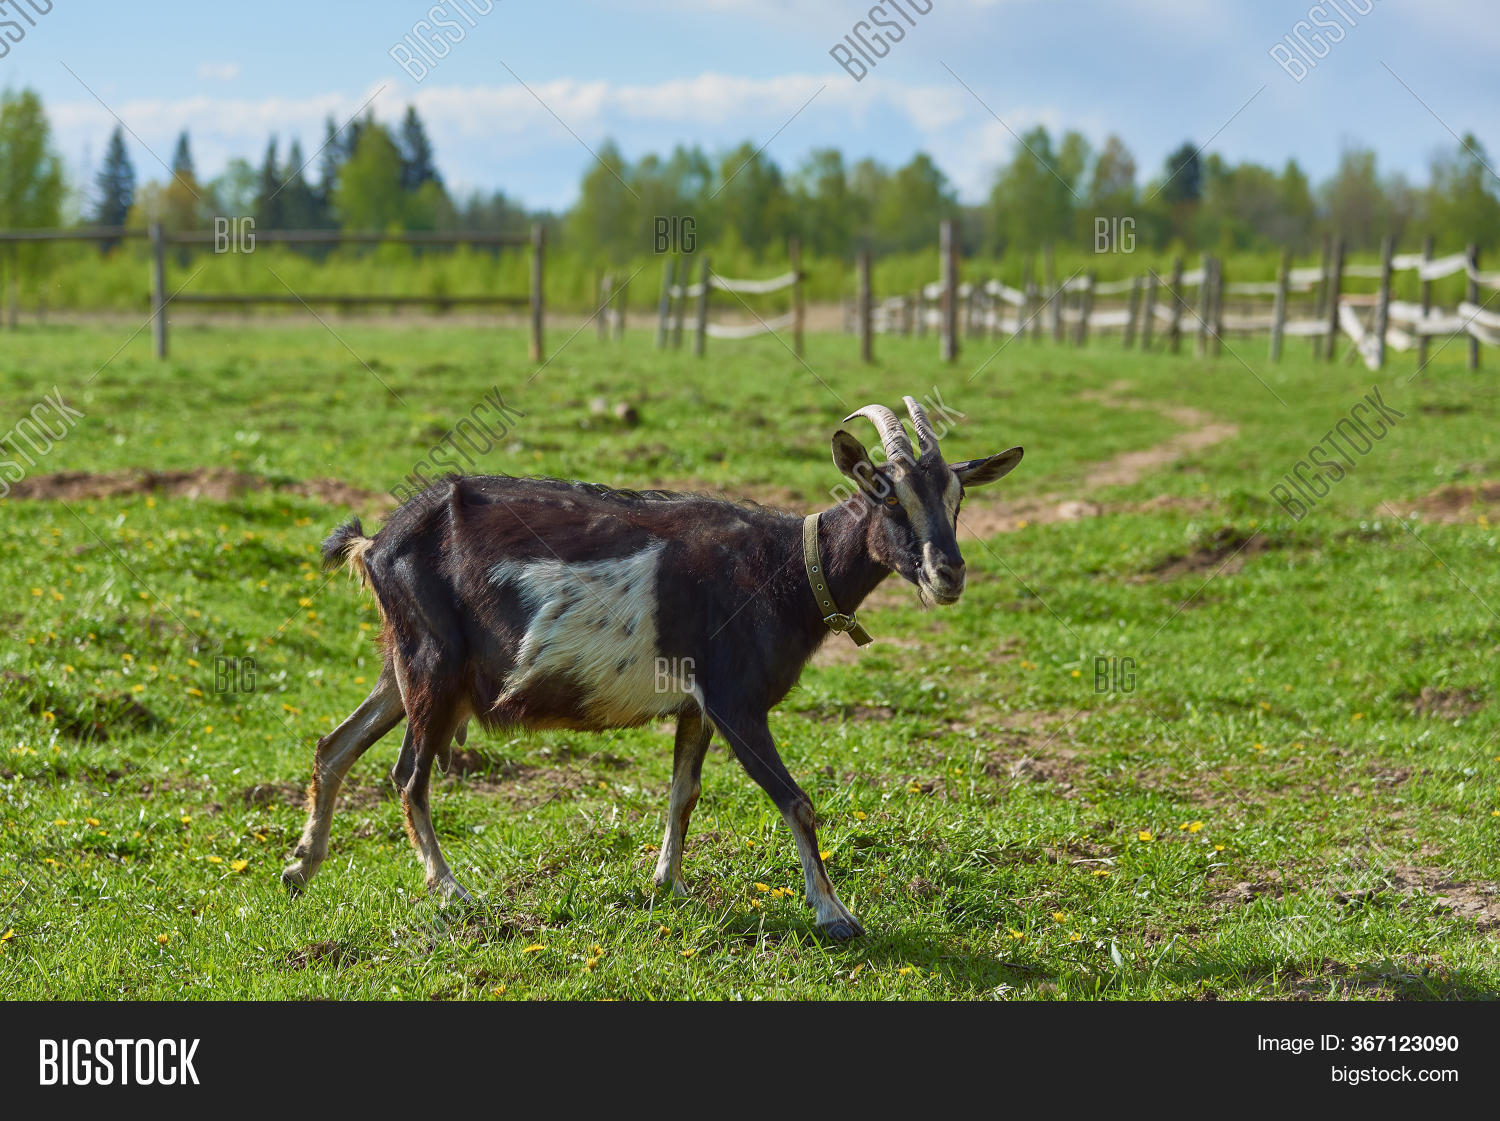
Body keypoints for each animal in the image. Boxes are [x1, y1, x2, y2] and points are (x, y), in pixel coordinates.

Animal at [282, 396, 1023, 939]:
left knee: (333, 745)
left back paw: (299, 868)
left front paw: (669, 883)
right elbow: (795, 799)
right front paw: (836, 915)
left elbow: (682, 792)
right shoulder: (734, 698)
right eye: (887, 495)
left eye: (956, 498)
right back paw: (453, 892)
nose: (948, 573)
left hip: (405, 661)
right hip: (432, 663)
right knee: (408, 775)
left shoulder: (697, 703)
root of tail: (376, 541)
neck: (783, 567)